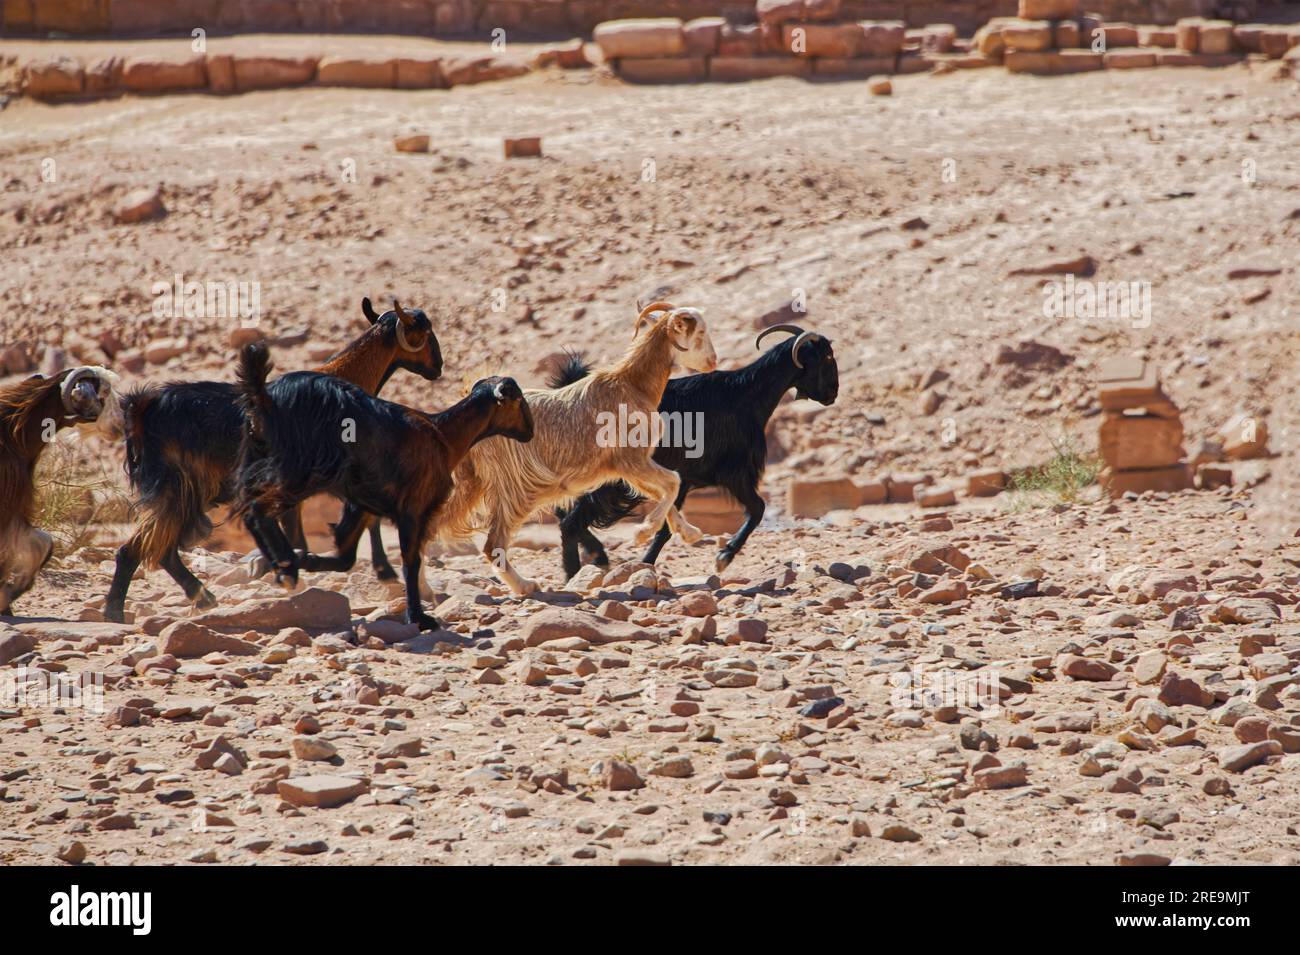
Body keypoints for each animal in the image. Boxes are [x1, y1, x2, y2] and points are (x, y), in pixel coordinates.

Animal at [1, 366, 123, 615]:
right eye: (104, 392)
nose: (121, 423)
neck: (13, 434)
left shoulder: (15, 505)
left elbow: (43, 542)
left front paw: (7, 597)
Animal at [104, 299, 442, 623]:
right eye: (425, 333)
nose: (438, 367)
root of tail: (141, 408)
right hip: (174, 487)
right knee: (137, 548)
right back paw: (116, 612)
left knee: (161, 549)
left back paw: (200, 597)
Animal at [233, 343, 534, 630]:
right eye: (518, 399)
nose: (530, 431)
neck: (443, 436)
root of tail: (264, 397)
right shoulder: (413, 507)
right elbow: (410, 560)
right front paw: (419, 617)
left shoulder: (362, 504)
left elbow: (346, 555)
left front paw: (309, 560)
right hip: (301, 470)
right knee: (259, 508)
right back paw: (286, 566)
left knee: (249, 509)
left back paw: (282, 565)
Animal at [437, 301, 718, 595]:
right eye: (699, 332)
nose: (713, 362)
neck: (632, 384)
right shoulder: (631, 459)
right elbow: (673, 482)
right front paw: (643, 532)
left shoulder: (624, 467)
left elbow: (662, 490)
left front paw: (689, 532)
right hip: (516, 489)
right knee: (493, 545)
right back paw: (526, 586)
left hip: (475, 482)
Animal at [554, 323, 838, 578]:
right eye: (826, 356)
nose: (832, 393)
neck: (746, 395)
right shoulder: (735, 473)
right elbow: (758, 508)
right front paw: (724, 557)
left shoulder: (685, 480)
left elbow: (667, 530)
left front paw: (646, 564)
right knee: (570, 521)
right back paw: (575, 572)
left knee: (566, 513)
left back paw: (595, 558)